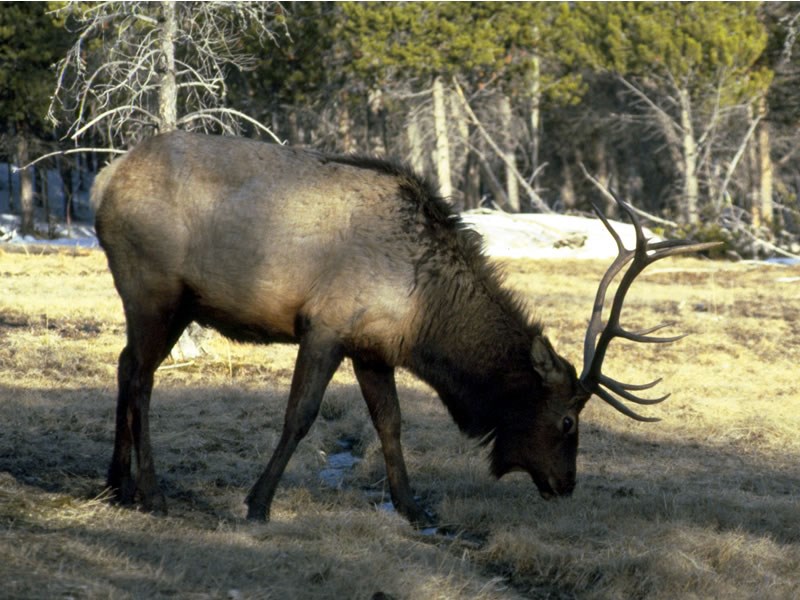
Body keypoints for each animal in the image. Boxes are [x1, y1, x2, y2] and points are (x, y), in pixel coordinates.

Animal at [91, 131, 715, 525]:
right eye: (567, 420)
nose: (566, 486)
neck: (425, 320)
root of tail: (103, 179)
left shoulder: (373, 347)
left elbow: (390, 424)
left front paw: (412, 506)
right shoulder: (326, 325)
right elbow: (300, 417)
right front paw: (258, 502)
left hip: (167, 302)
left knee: (124, 365)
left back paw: (116, 483)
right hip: (154, 288)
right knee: (142, 377)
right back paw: (151, 492)